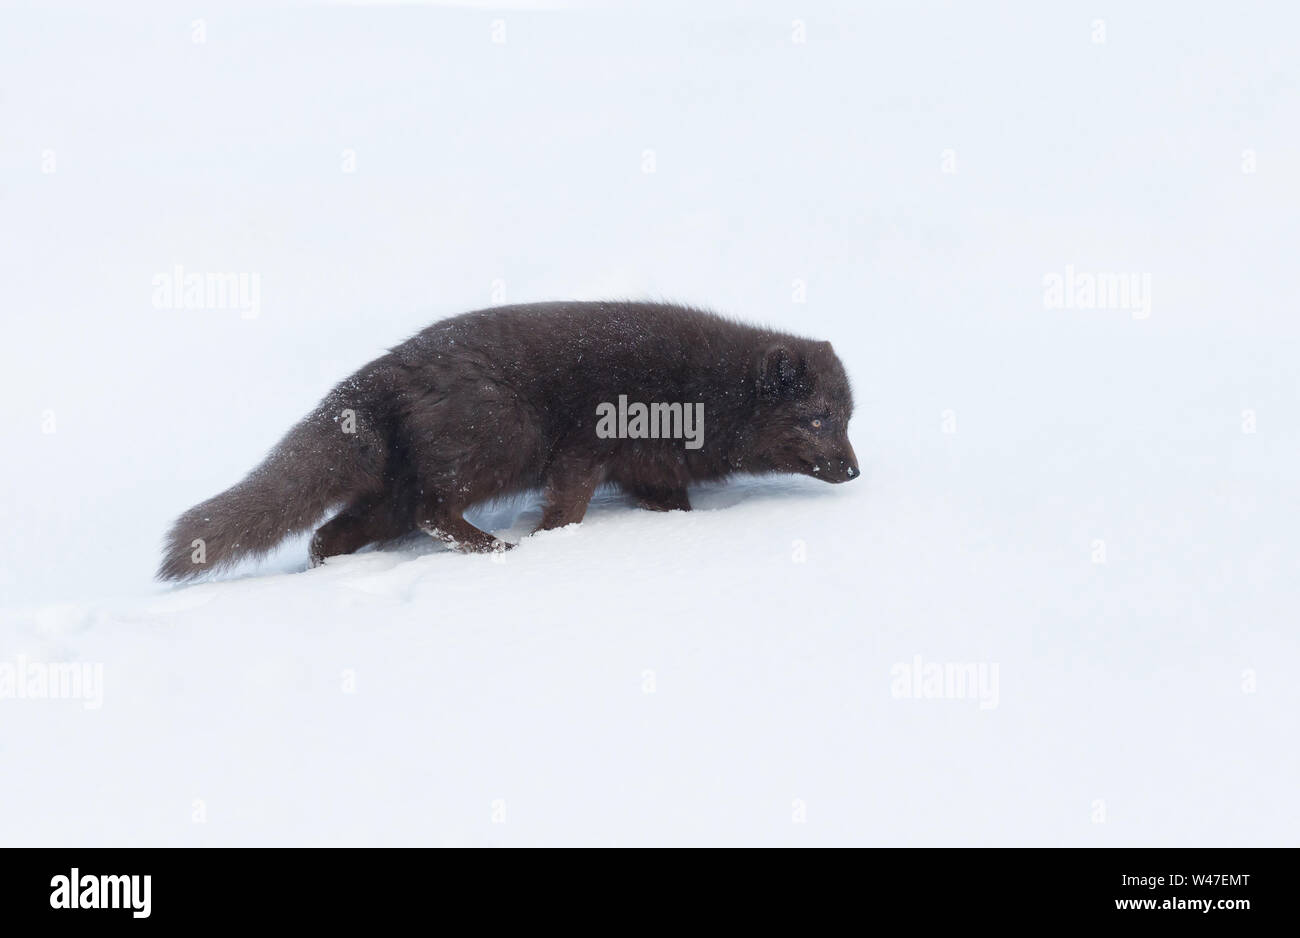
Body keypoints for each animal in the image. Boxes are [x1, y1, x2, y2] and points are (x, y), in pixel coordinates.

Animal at [157, 301, 859, 581]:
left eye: (849, 417)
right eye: (819, 418)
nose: (854, 472)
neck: (704, 391)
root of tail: (384, 369)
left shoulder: (648, 470)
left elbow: (671, 503)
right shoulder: (585, 449)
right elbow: (566, 509)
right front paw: (551, 544)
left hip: (390, 495)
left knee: (328, 534)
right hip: (505, 438)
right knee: (432, 510)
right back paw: (495, 549)